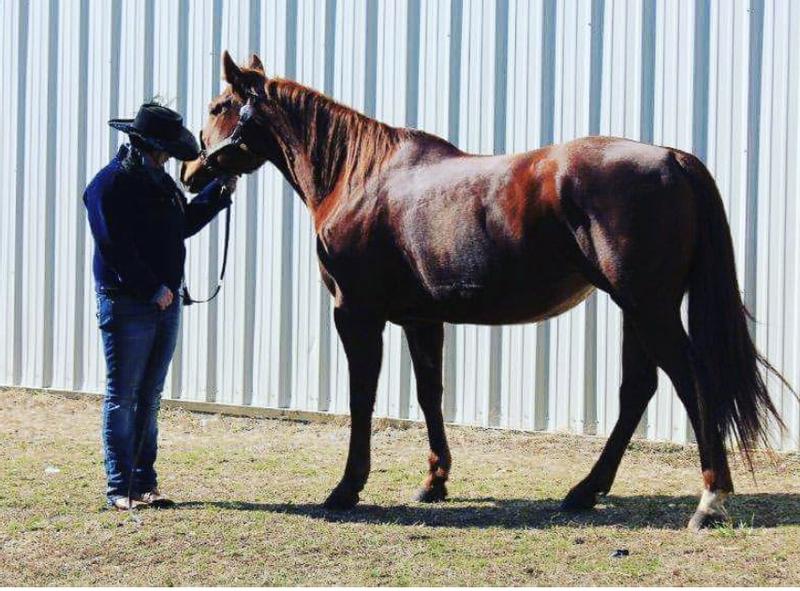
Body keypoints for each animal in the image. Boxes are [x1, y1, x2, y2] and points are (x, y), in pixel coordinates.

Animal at [181, 51, 786, 531]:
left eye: (217, 106)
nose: (190, 171)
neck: (358, 177)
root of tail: (671, 158)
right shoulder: (421, 318)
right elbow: (429, 394)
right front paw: (434, 482)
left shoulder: (356, 314)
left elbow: (361, 397)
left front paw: (347, 489)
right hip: (637, 309)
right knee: (637, 388)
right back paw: (584, 491)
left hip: (649, 307)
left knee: (690, 381)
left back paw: (710, 499)